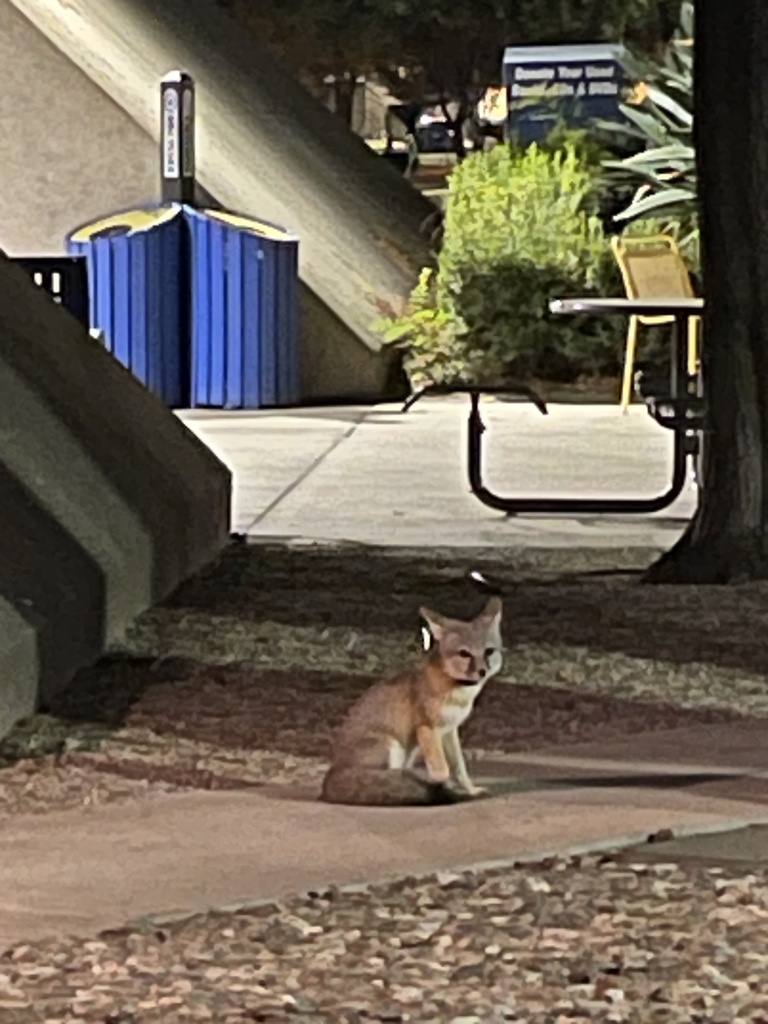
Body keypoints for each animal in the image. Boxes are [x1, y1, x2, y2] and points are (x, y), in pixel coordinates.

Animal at [320, 596, 503, 807]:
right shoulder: (427, 729)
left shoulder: (449, 730)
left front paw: (470, 790)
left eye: (489, 651)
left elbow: (459, 769)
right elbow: (442, 771)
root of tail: (332, 774)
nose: (482, 672)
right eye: (464, 654)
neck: (457, 692)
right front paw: (448, 791)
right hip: (392, 747)